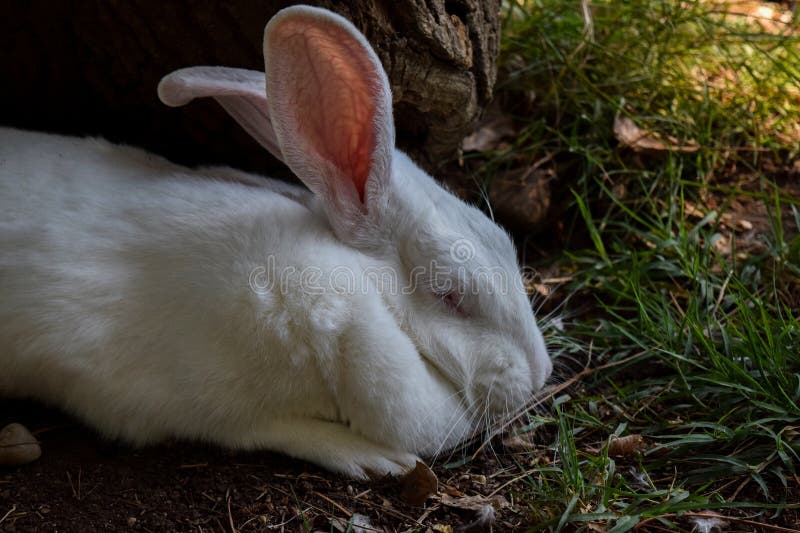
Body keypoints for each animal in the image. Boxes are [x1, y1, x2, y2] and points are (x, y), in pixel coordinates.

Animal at [0, 5, 552, 479]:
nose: (540, 375)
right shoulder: (187, 401)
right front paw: (374, 458)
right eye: (449, 295)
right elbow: (264, 431)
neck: (359, 288)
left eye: (506, 245)